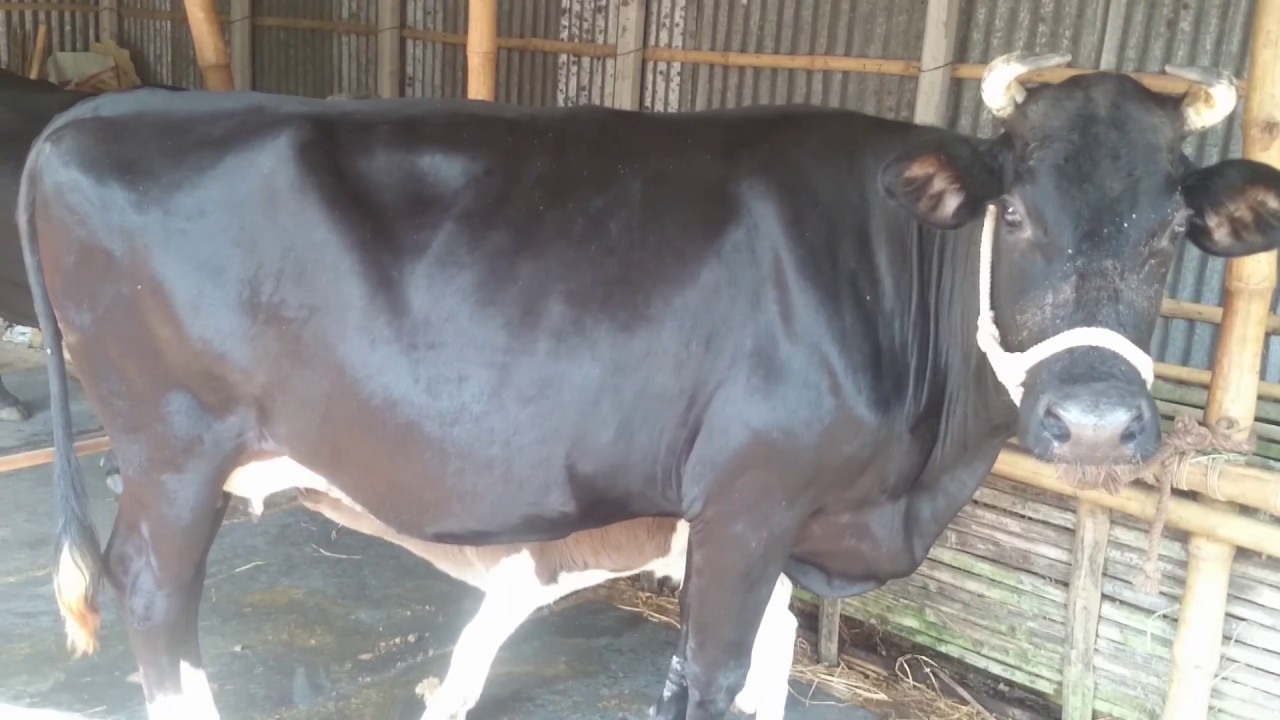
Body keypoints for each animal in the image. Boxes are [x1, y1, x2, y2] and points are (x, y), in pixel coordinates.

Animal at [18, 51, 1280, 720]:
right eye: (1011, 213)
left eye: (1169, 231)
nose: (1095, 426)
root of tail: (100, 114)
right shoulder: (746, 501)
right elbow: (708, 678)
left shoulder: (783, 521)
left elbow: (767, 669)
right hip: (175, 449)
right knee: (156, 595)